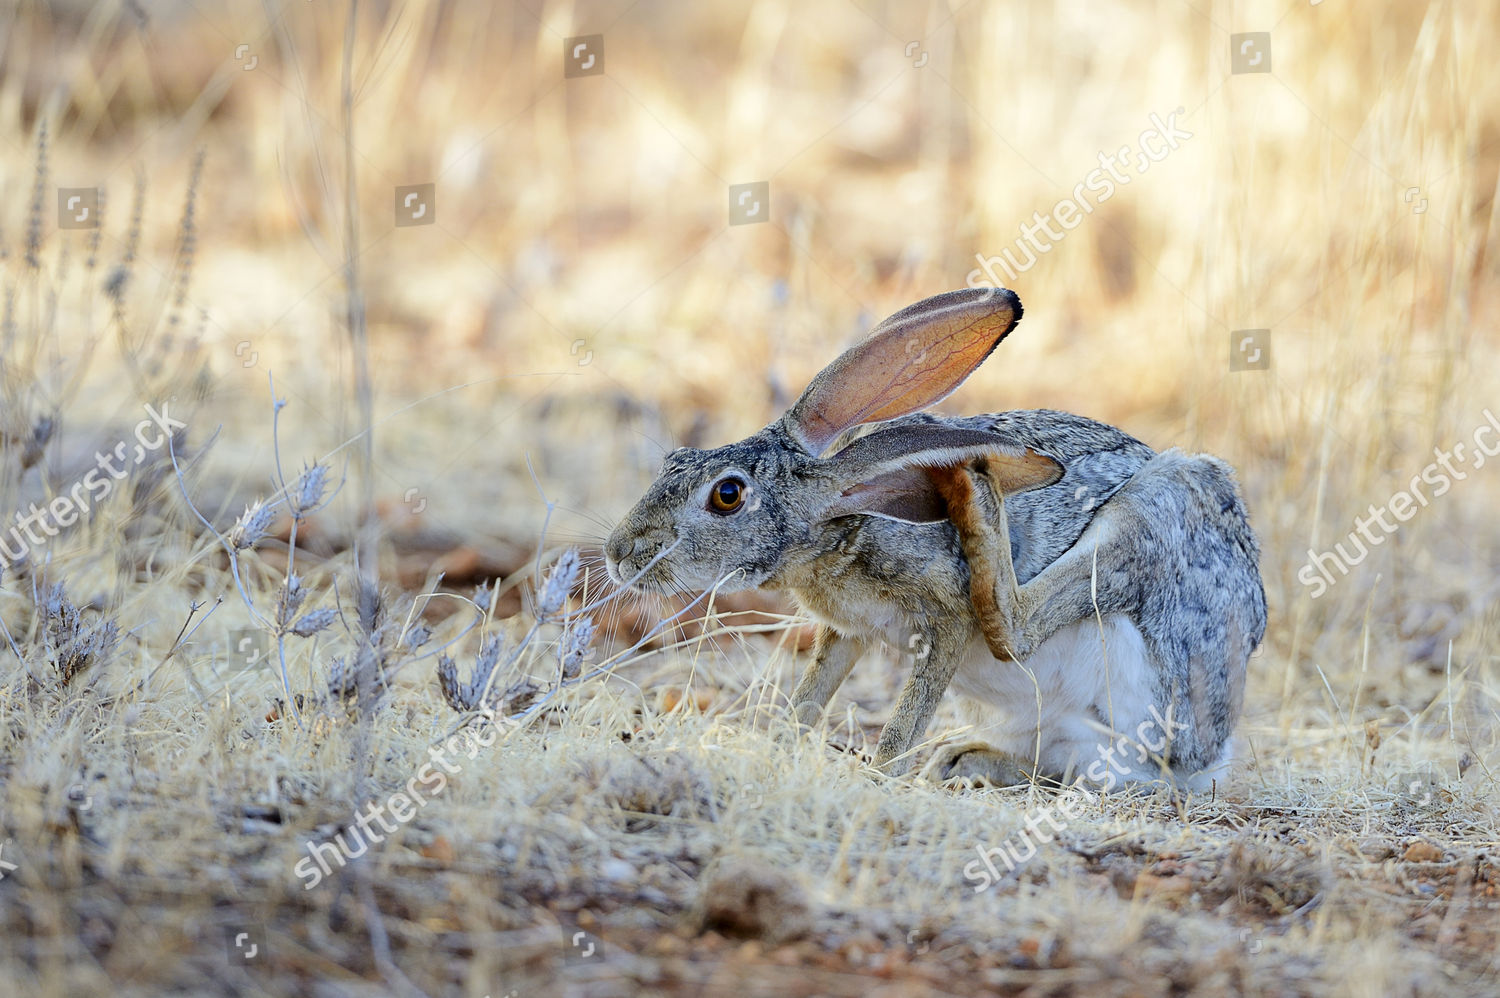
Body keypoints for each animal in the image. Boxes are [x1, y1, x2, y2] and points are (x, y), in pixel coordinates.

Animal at [604, 287, 1266, 790]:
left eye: (727, 495)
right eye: (674, 460)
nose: (618, 556)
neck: (849, 518)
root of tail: (1207, 760)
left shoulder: (946, 615)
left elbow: (909, 711)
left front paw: (877, 774)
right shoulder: (847, 631)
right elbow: (811, 693)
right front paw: (769, 743)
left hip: (1157, 513)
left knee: (1018, 629)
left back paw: (976, 489)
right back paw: (962, 760)